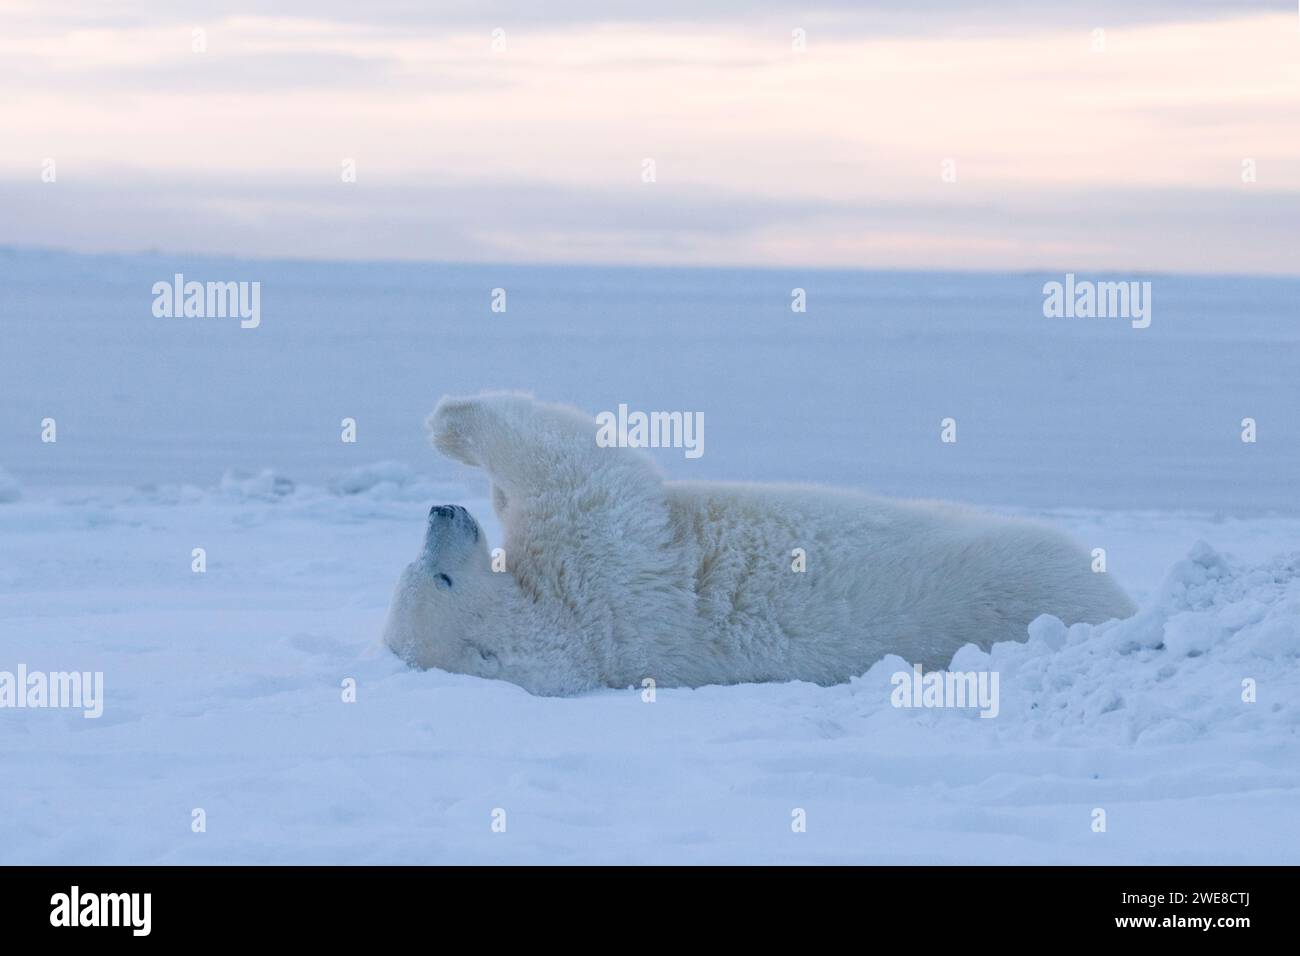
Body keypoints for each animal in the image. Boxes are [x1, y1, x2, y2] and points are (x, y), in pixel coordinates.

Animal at [382, 392, 1136, 696]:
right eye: (436, 579)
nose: (443, 512)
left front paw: (450, 432)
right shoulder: (604, 567)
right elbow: (582, 469)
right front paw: (454, 422)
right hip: (1029, 572)